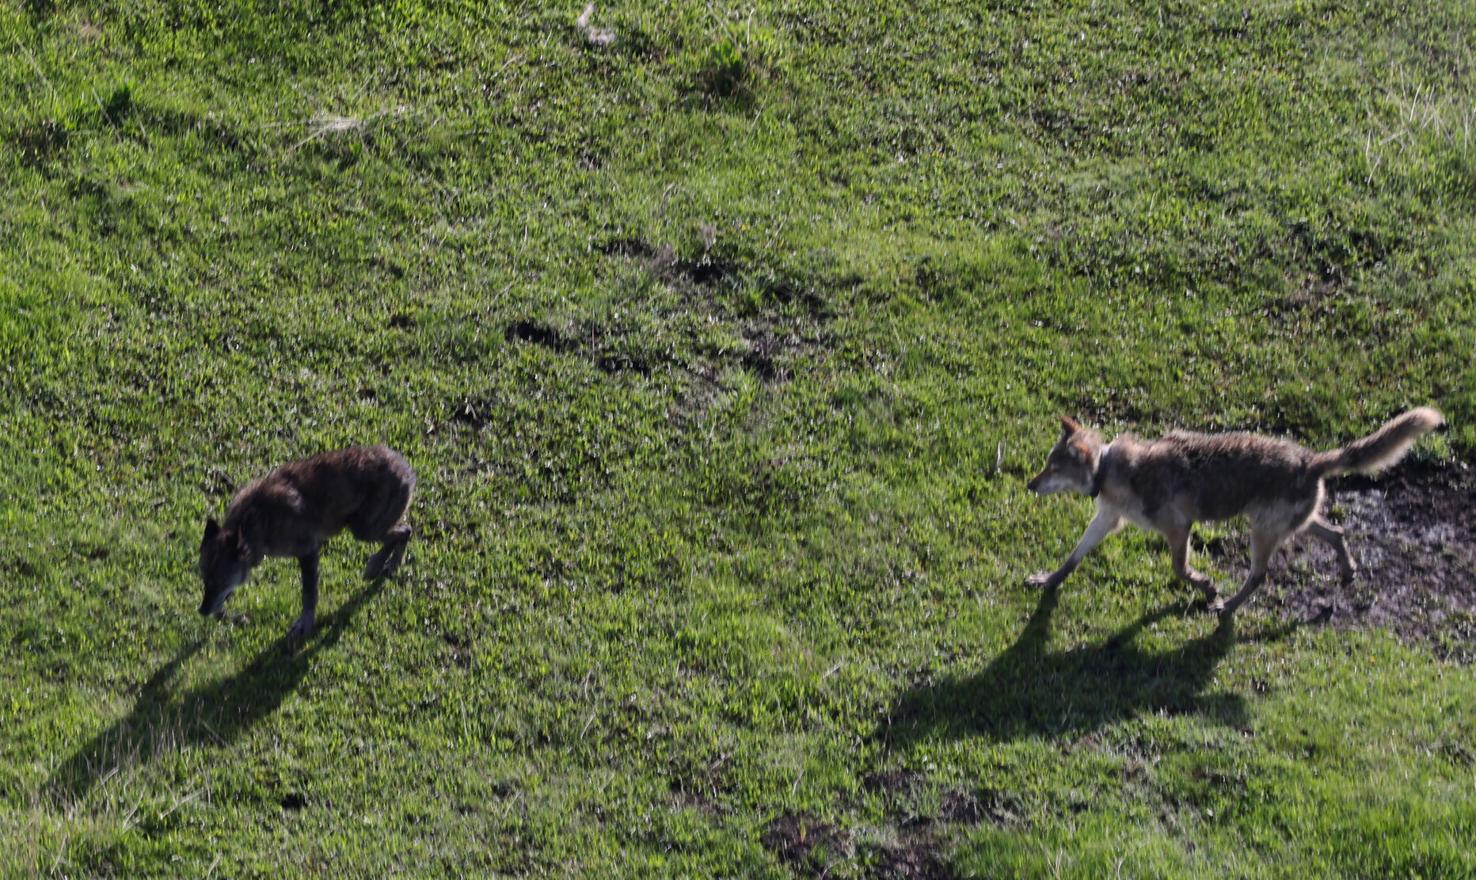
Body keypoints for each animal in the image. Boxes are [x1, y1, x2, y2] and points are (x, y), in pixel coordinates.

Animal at [199, 445, 415, 644]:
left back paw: (377, 566)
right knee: (405, 531)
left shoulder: (308, 552)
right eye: (205, 580)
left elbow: (308, 595)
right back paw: (387, 565)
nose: (201, 611)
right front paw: (236, 618)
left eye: (219, 582)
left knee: (404, 531)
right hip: (363, 528)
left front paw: (305, 625)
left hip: (363, 529)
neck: (257, 521)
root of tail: (407, 469)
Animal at [1025, 408, 1443, 617]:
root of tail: (1310, 461)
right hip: (1290, 525)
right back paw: (1347, 572)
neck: (1109, 468)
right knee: (1337, 534)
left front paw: (1209, 587)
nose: (1029, 485)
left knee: (1259, 576)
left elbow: (1181, 570)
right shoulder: (1105, 521)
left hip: (1261, 533)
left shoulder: (1179, 529)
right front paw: (1047, 581)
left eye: (1053, 468)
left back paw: (1226, 607)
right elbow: (1072, 557)